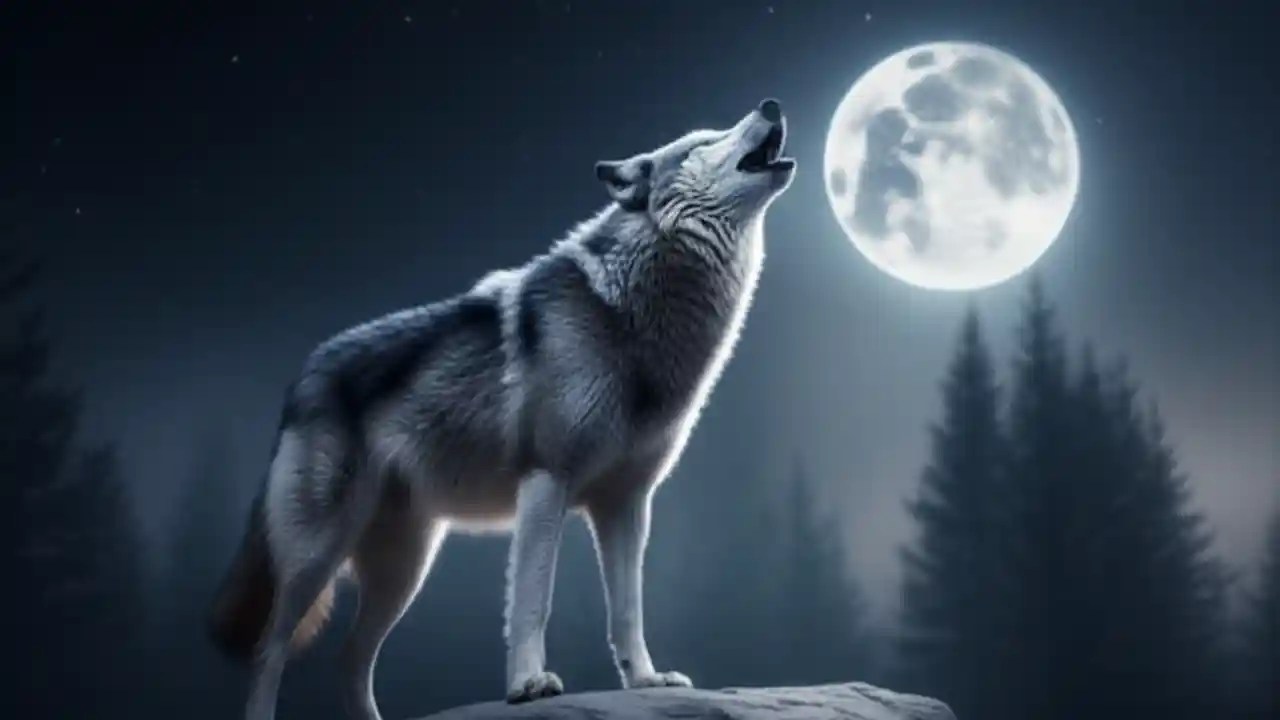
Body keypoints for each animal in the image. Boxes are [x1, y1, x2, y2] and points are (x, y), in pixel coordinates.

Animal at [208, 99, 795, 720]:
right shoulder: (546, 481)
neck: (631, 312)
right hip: (315, 560)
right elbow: (533, 600)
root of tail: (303, 374)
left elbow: (628, 610)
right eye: (706, 140)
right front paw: (528, 684)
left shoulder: (627, 502)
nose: (771, 104)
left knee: (349, 658)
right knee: (270, 651)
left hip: (404, 570)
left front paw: (645, 680)